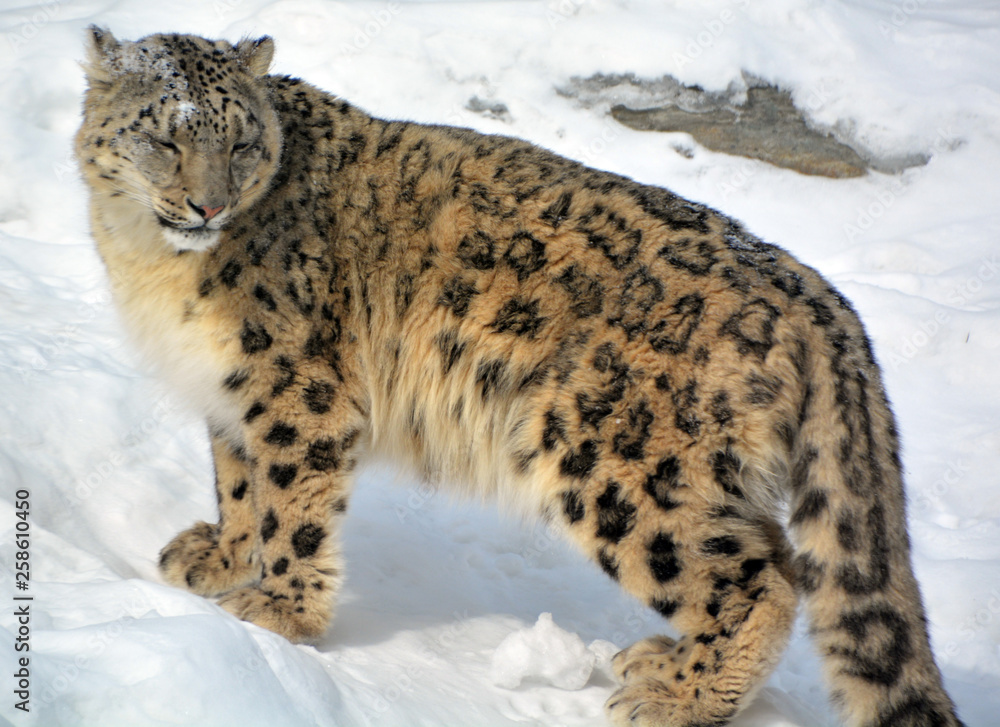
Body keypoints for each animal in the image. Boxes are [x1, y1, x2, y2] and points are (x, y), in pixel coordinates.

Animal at [74, 26, 964, 727]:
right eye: (165, 138)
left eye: (241, 142)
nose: (208, 207)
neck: (150, 259)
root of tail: (813, 290)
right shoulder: (229, 391)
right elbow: (238, 479)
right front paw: (219, 555)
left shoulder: (297, 389)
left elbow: (290, 501)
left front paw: (279, 614)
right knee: (769, 551)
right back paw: (666, 663)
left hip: (616, 462)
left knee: (763, 578)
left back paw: (672, 697)